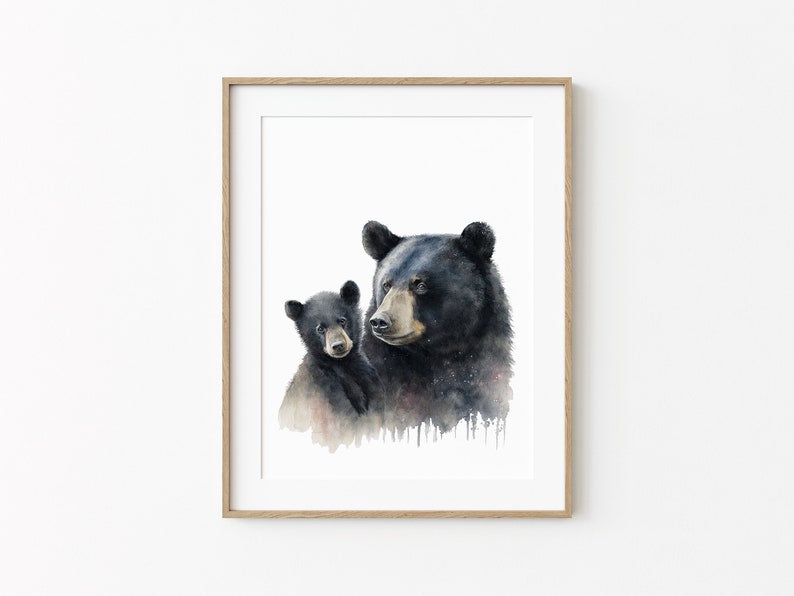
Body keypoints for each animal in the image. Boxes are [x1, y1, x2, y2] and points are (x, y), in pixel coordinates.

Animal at [278, 280, 383, 451]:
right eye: (320, 328)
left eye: (342, 320)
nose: (338, 345)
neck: (342, 364)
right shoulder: (323, 392)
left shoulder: (369, 379)